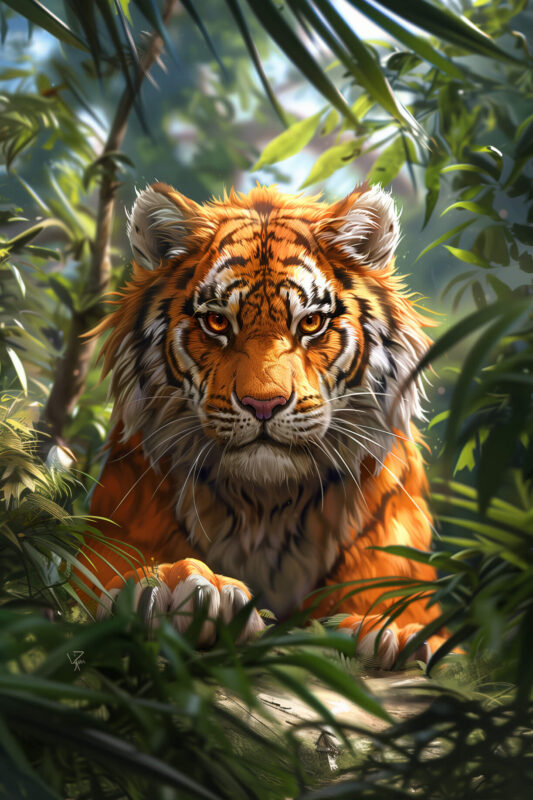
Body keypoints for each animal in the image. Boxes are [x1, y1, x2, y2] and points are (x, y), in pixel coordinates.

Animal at [76, 181, 445, 669]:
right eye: (217, 322)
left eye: (311, 322)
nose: (264, 404)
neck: (265, 505)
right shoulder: (108, 534)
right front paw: (183, 590)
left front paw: (395, 630)